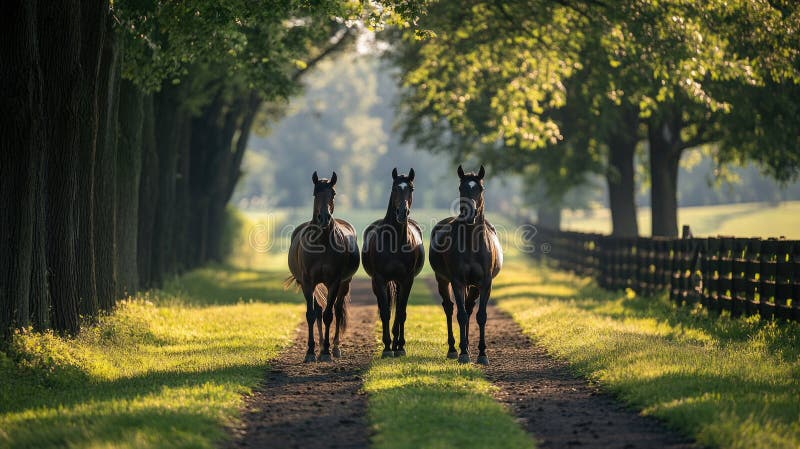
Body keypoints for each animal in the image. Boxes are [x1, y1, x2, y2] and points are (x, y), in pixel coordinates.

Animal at [286, 171, 360, 362]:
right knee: (318, 310)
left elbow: (329, 315)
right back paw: (319, 348)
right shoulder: (307, 282)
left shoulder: (334, 282)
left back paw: (335, 348)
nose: (324, 218)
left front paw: (327, 352)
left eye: (332, 193)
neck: (322, 242)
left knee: (337, 310)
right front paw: (311, 352)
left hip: (345, 283)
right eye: (315, 193)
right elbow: (311, 314)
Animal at [362, 168, 425, 357]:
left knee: (398, 309)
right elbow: (385, 312)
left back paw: (397, 344)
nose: (402, 212)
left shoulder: (407, 280)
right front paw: (387, 347)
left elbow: (401, 312)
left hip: (398, 282)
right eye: (395, 188)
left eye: (411, 188)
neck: (394, 240)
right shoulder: (380, 279)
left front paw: (400, 346)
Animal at [429, 165, 503, 365]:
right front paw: (463, 353)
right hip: (442, 280)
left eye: (481, 188)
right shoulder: (457, 282)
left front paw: (482, 354)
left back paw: (468, 345)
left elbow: (481, 315)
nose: (470, 214)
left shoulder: (485, 283)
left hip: (474, 286)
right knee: (449, 308)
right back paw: (454, 349)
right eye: (461, 188)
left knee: (469, 308)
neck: (472, 244)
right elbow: (460, 315)